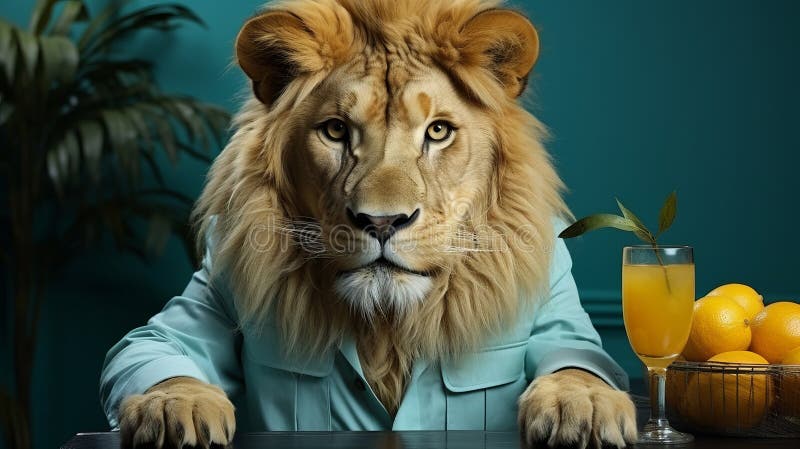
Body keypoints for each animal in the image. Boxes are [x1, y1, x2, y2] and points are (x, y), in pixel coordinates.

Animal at [101, 1, 637, 448]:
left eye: (438, 131)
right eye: (336, 130)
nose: (382, 222)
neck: (387, 325)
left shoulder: (559, 304)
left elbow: (578, 360)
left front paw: (582, 404)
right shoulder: (211, 285)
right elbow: (153, 344)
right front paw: (175, 405)